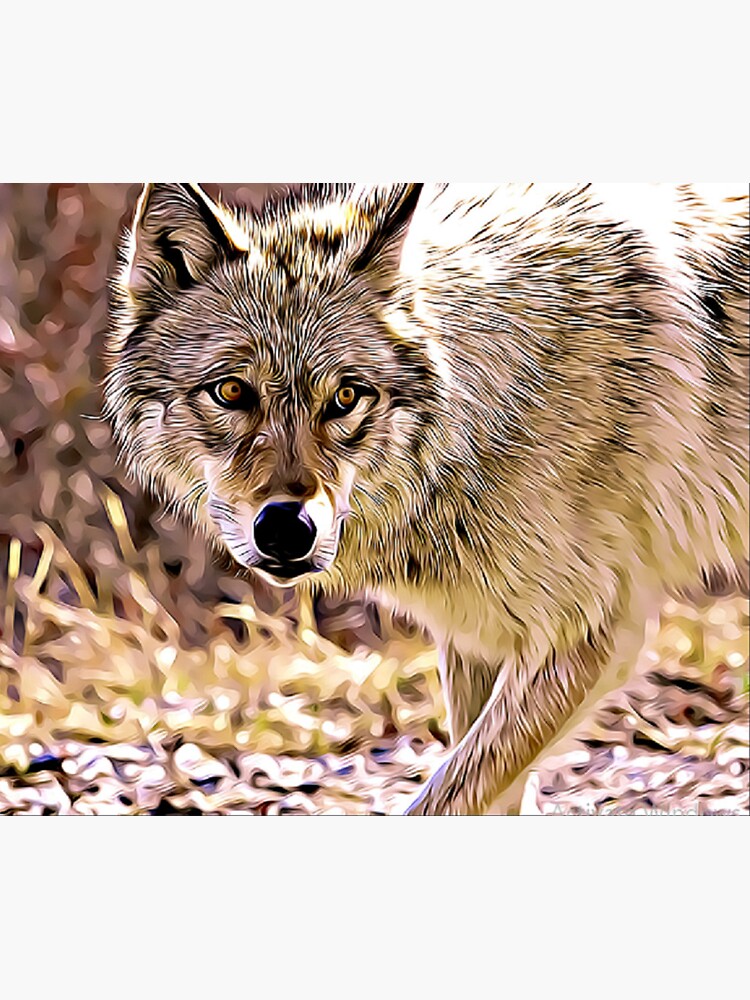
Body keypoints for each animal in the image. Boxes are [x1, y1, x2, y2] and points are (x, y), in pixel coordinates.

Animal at [104, 182, 749, 815]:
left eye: (345, 397)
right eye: (232, 391)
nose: (287, 528)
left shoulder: (588, 633)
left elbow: (444, 799)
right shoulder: (477, 641)